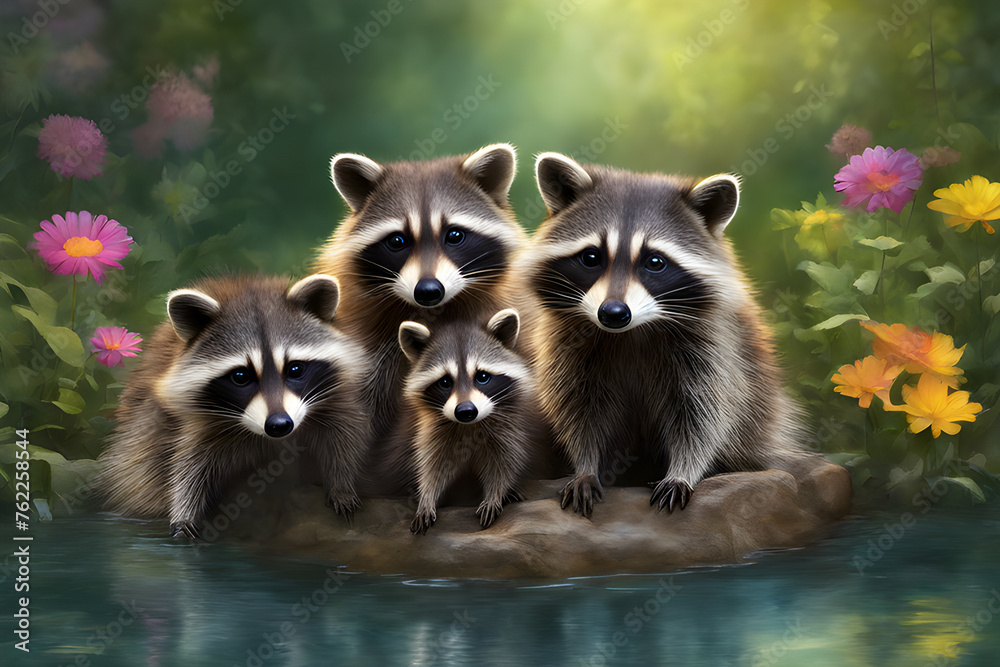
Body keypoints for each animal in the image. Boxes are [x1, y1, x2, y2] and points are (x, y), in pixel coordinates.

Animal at [98, 274, 371, 538]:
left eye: (295, 369)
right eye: (240, 376)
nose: (279, 425)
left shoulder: (333, 401)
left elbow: (342, 439)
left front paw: (341, 485)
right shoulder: (197, 423)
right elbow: (189, 467)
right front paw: (184, 510)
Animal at [394, 309, 535, 534]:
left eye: (482, 377)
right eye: (445, 382)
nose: (466, 411)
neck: (469, 426)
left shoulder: (506, 427)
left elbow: (504, 461)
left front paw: (495, 494)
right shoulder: (436, 432)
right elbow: (433, 464)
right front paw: (427, 497)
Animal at [522, 152, 806, 518]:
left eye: (655, 262)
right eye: (591, 257)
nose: (613, 313)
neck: (631, 333)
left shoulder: (714, 347)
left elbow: (704, 414)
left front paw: (683, 470)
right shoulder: (568, 344)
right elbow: (580, 410)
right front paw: (585, 465)